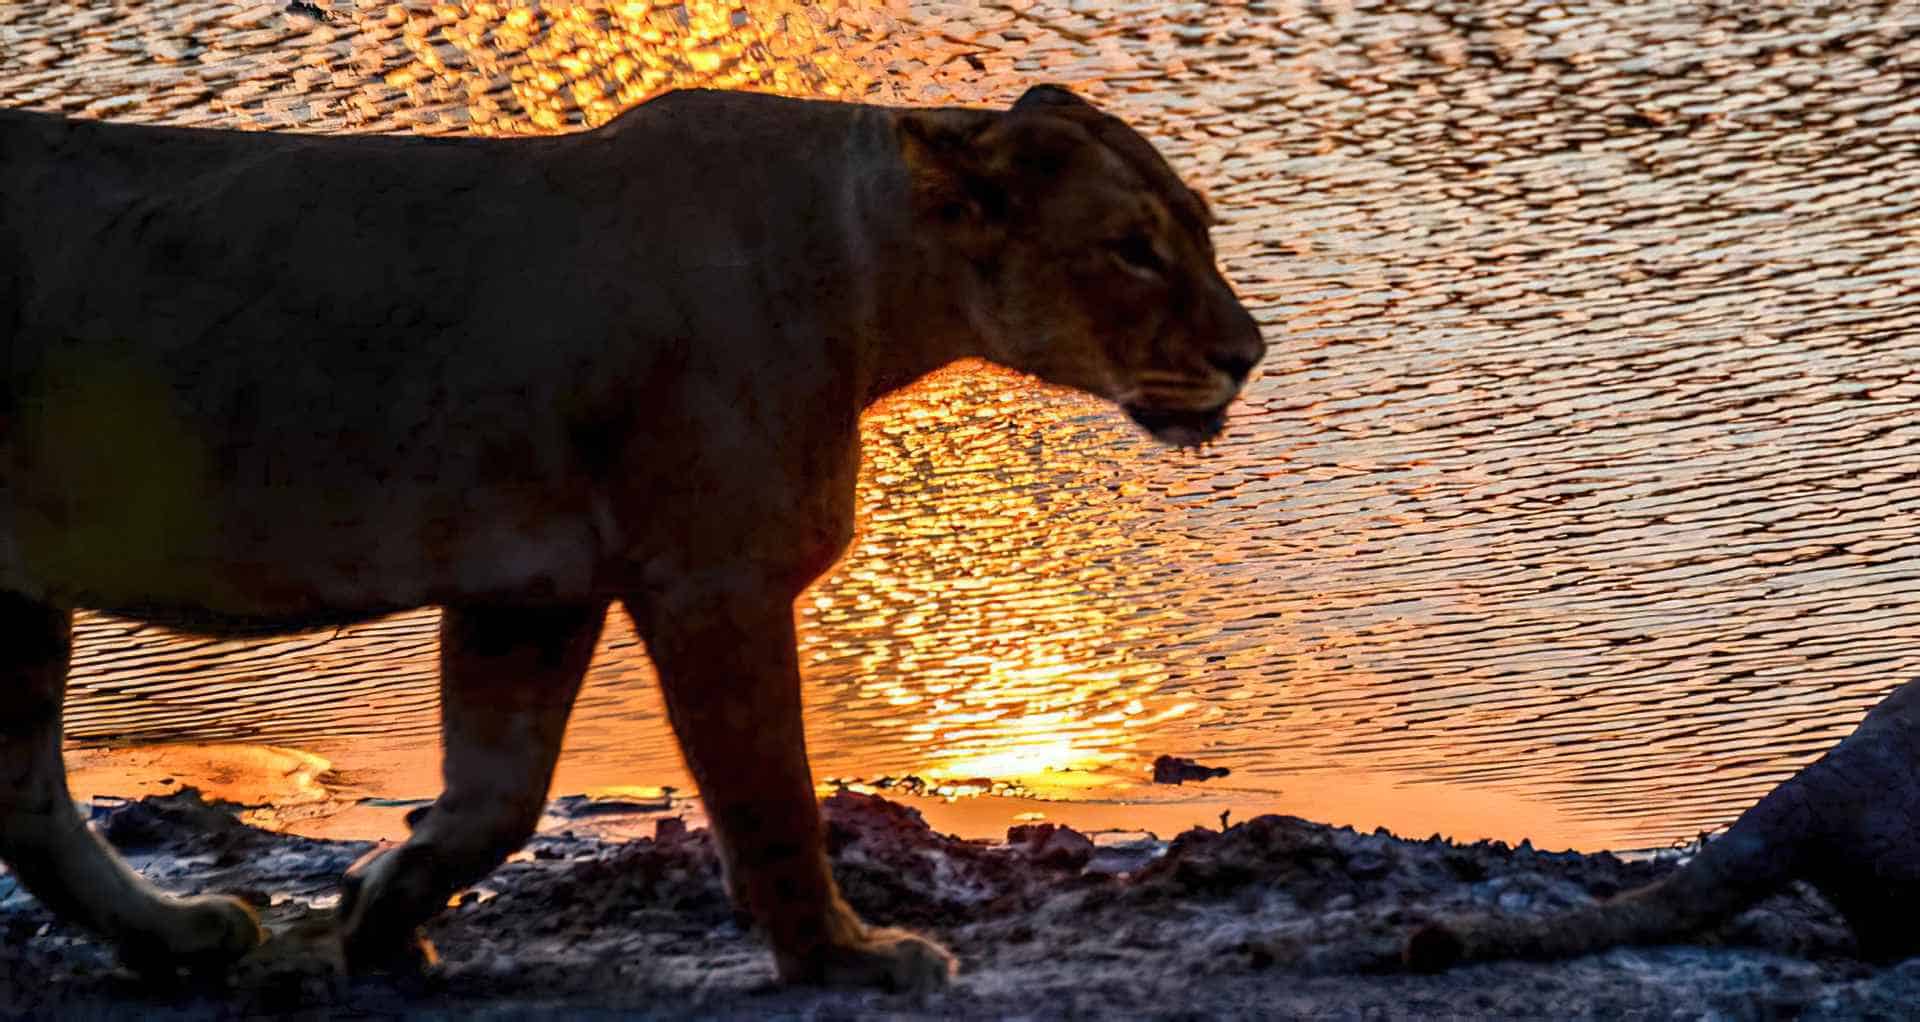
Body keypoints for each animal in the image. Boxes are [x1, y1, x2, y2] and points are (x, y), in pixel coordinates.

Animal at [0, 85, 1264, 990]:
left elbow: (496, 797)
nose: (1249, 353)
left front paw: (377, 918)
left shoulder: (529, 587)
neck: (871, 280)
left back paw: (177, 936)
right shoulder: (717, 575)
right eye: (1134, 247)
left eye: (1201, 229)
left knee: (29, 798)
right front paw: (842, 955)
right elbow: (770, 791)